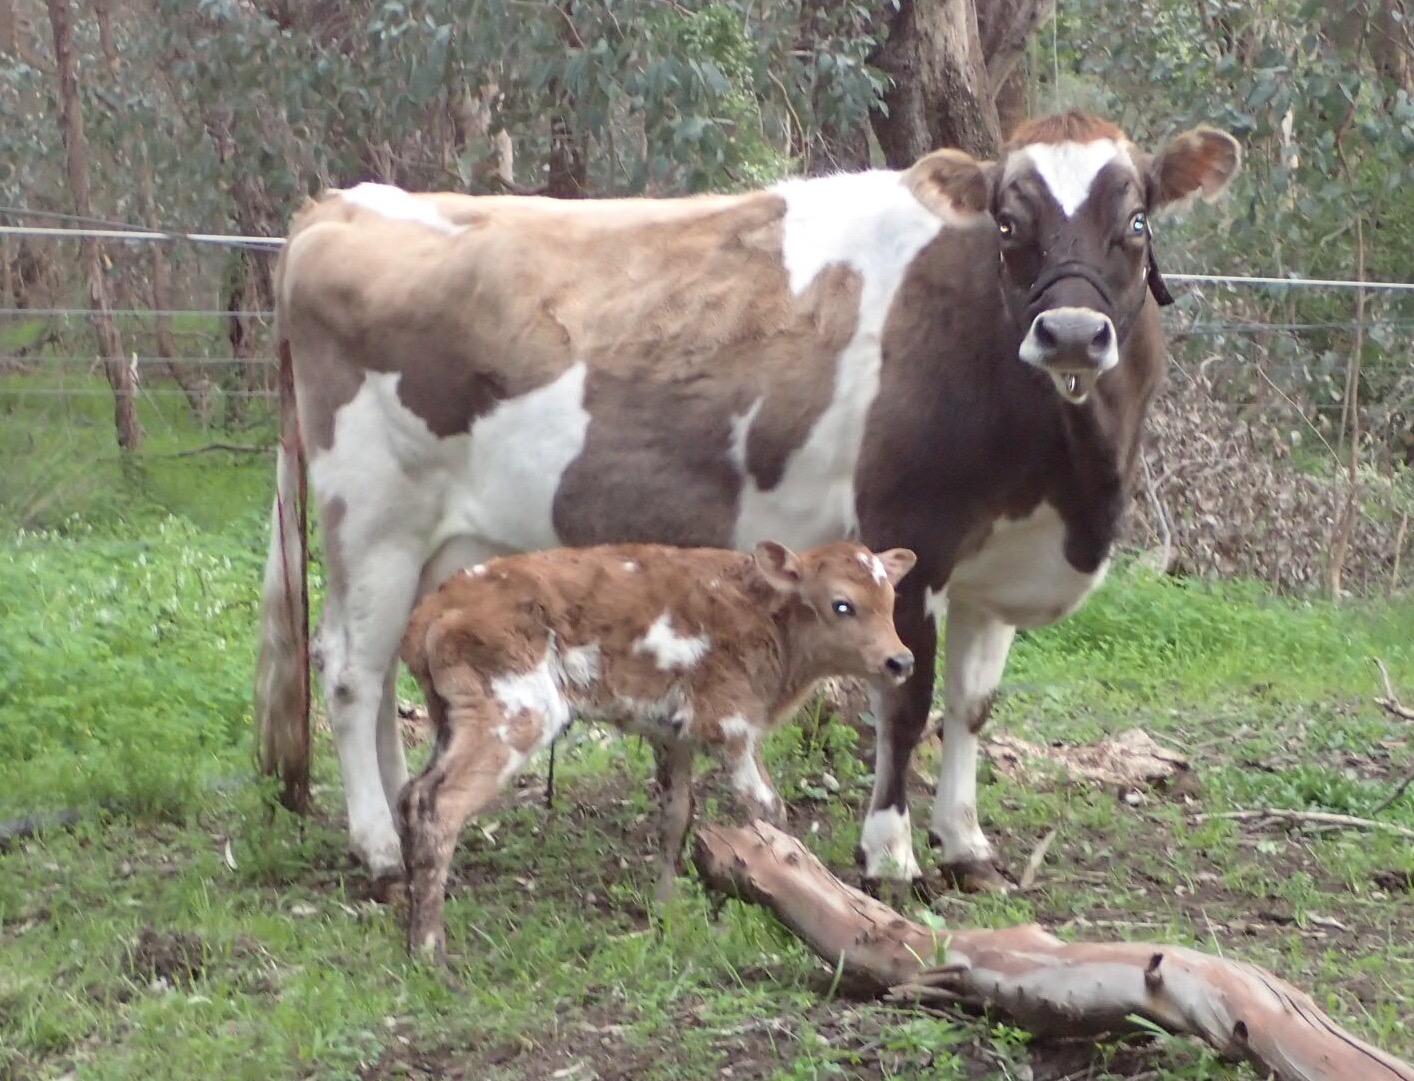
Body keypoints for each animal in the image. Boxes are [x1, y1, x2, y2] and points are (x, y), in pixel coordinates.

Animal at [254, 110, 1241, 896]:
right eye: (1008, 222)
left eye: (1137, 220)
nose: (1070, 332)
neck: (1062, 480)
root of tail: (336, 205)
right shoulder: (911, 537)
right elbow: (906, 698)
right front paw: (890, 856)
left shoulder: (995, 561)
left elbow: (971, 706)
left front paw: (966, 844)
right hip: (372, 516)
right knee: (350, 669)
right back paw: (380, 846)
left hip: (430, 544)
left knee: (387, 667)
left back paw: (395, 813)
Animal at [397, 539, 916, 956]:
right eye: (842, 605)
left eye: (891, 600)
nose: (901, 661)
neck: (768, 618)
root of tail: (429, 613)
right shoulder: (730, 723)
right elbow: (768, 809)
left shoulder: (674, 734)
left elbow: (676, 815)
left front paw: (665, 910)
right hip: (515, 710)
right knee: (440, 803)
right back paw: (429, 947)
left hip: (451, 715)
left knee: (410, 793)